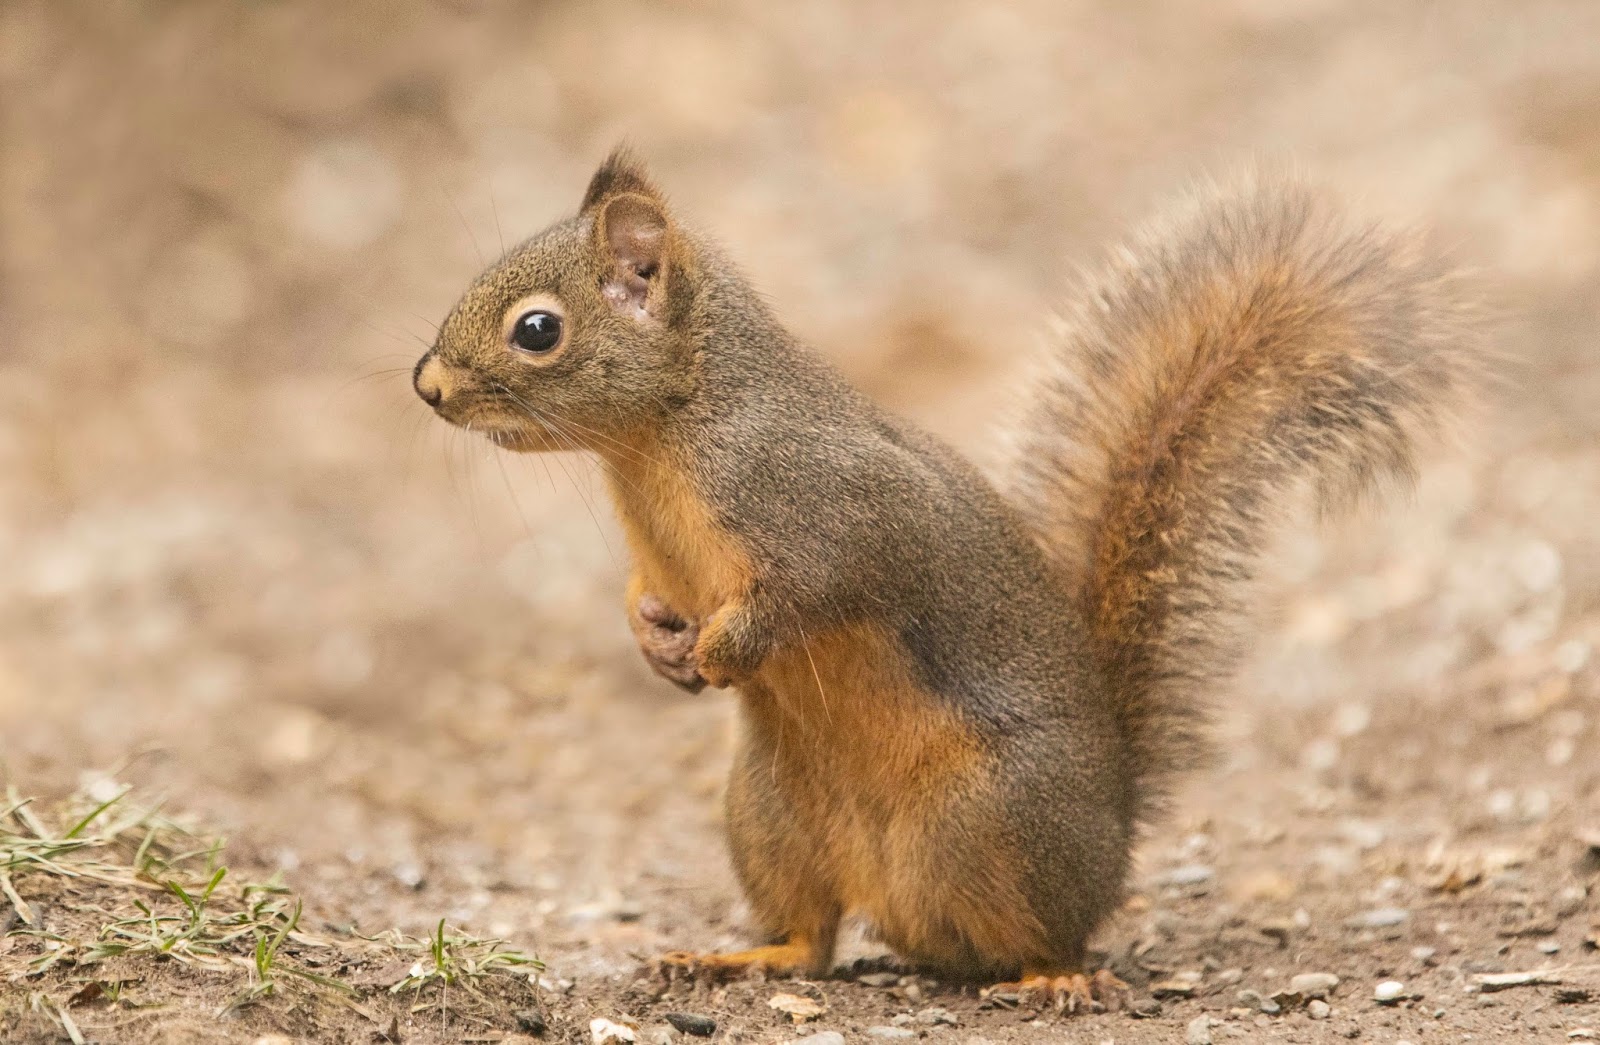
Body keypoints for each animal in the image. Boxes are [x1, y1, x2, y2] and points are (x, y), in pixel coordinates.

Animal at [413, 148, 1480, 1010]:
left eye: (537, 329)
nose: (427, 385)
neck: (657, 440)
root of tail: (1116, 826)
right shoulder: (659, 558)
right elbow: (645, 601)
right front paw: (659, 646)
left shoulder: (827, 512)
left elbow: (809, 592)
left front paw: (723, 648)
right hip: (768, 814)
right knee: (813, 940)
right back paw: (737, 958)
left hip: (992, 818)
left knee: (1042, 935)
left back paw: (1056, 977)